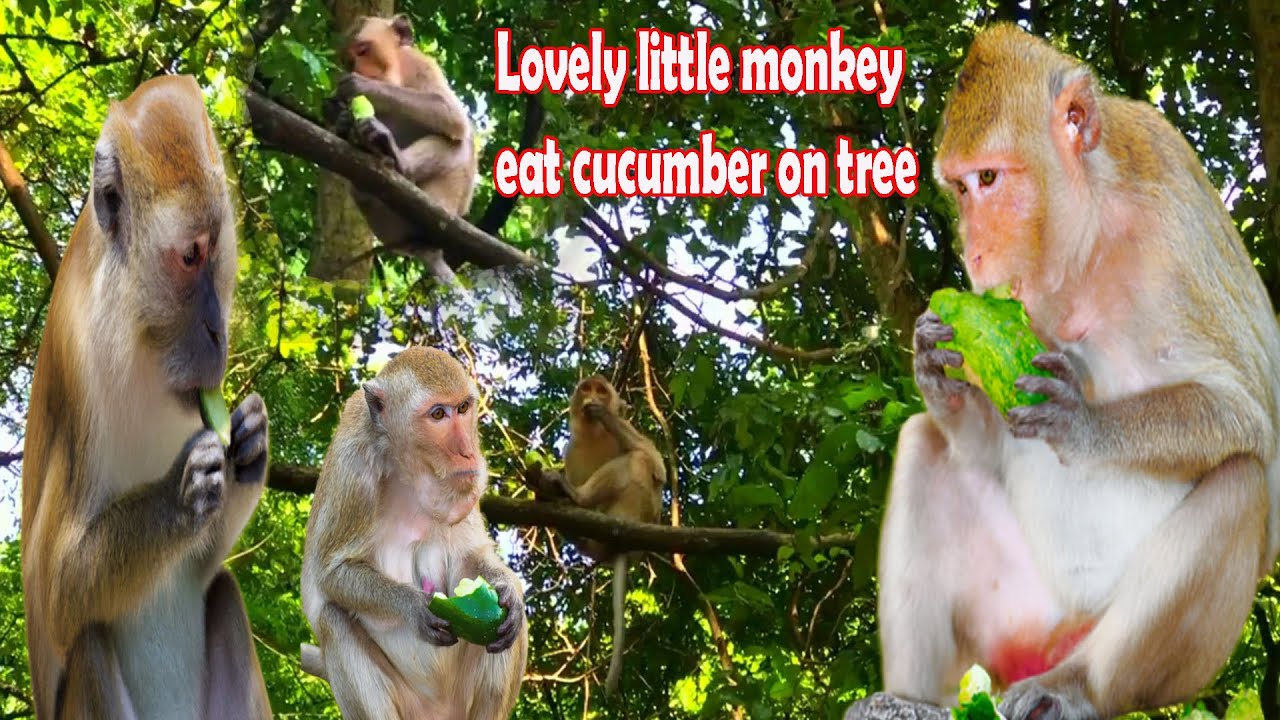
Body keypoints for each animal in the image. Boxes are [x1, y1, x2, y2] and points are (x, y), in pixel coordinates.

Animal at [20, 75, 272, 720]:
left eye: (219, 253)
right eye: (189, 255)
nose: (217, 331)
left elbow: (206, 569)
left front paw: (251, 441)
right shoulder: (81, 375)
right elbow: (52, 593)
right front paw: (178, 496)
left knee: (224, 591)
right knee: (86, 643)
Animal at [300, 346, 527, 720]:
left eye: (462, 408)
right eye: (437, 414)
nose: (467, 451)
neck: (406, 467)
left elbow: (474, 556)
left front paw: (507, 587)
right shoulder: (353, 464)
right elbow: (330, 573)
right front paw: (415, 606)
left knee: (511, 622)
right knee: (333, 617)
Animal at [325, 14, 477, 285]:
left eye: (363, 51)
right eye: (349, 61)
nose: (356, 70)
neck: (398, 74)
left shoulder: (421, 64)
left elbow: (451, 116)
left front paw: (361, 86)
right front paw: (342, 121)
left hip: (444, 203)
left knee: (459, 145)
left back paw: (396, 158)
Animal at [555, 374, 665, 695]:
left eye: (601, 391)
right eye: (586, 389)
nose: (592, 398)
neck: (594, 436)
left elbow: (657, 466)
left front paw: (605, 414)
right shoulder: (571, 450)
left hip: (639, 509)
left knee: (639, 460)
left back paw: (579, 497)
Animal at [874, 23, 1280, 720]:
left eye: (989, 178)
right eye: (960, 189)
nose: (971, 251)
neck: (1088, 241)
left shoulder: (1172, 222)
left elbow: (1252, 417)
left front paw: (1082, 421)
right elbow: (977, 444)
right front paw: (934, 366)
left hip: (1150, 659)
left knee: (1241, 478)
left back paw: (1076, 686)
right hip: (1010, 616)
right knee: (924, 443)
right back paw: (905, 700)